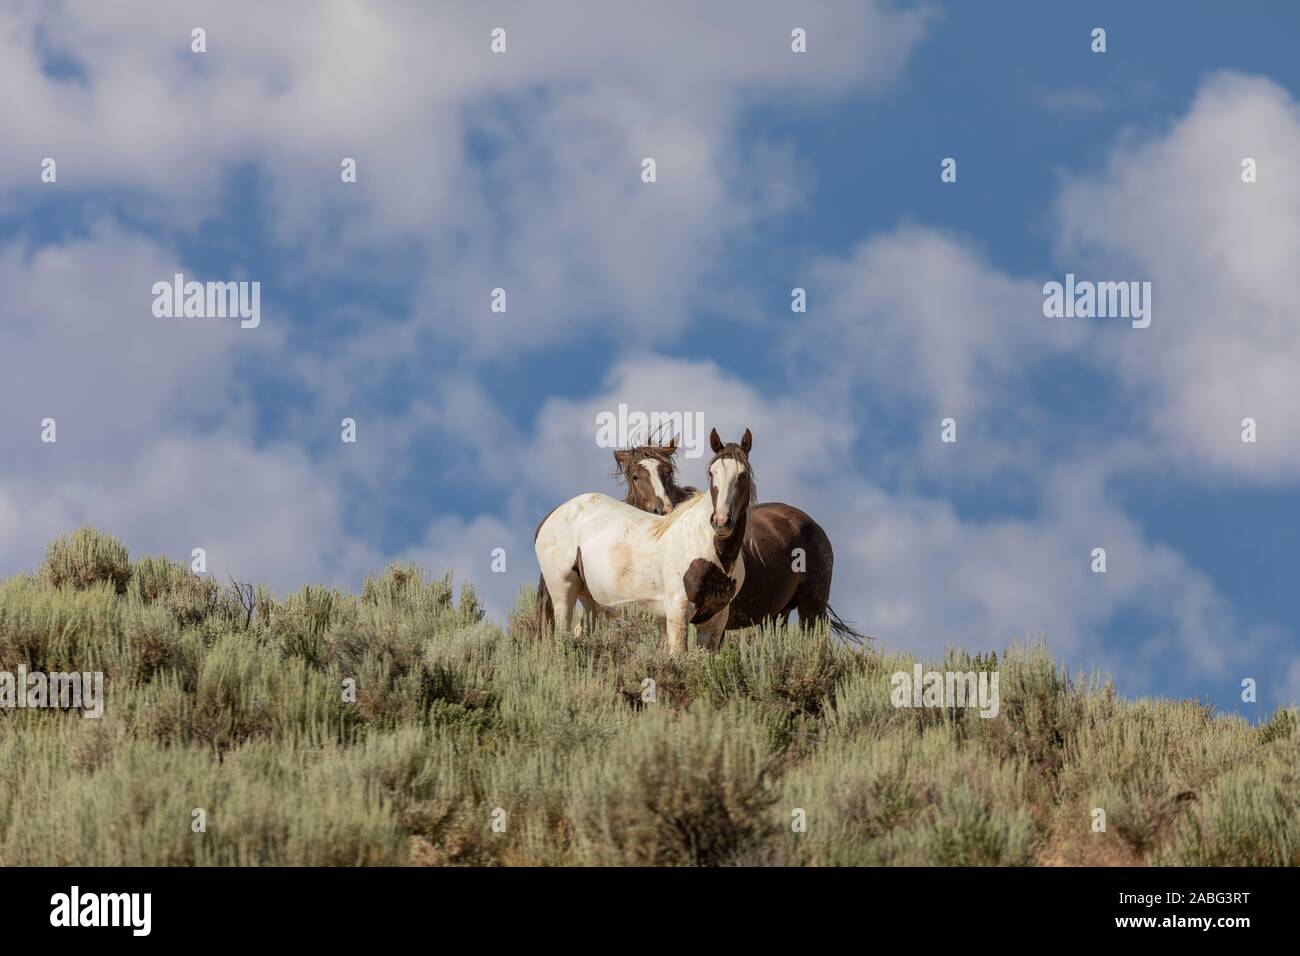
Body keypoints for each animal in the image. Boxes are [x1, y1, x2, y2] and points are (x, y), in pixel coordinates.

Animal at [535, 429, 756, 655]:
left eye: (743, 474)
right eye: (712, 473)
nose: (720, 521)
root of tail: (552, 515)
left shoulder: (714, 621)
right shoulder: (677, 613)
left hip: (590, 600)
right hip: (563, 594)